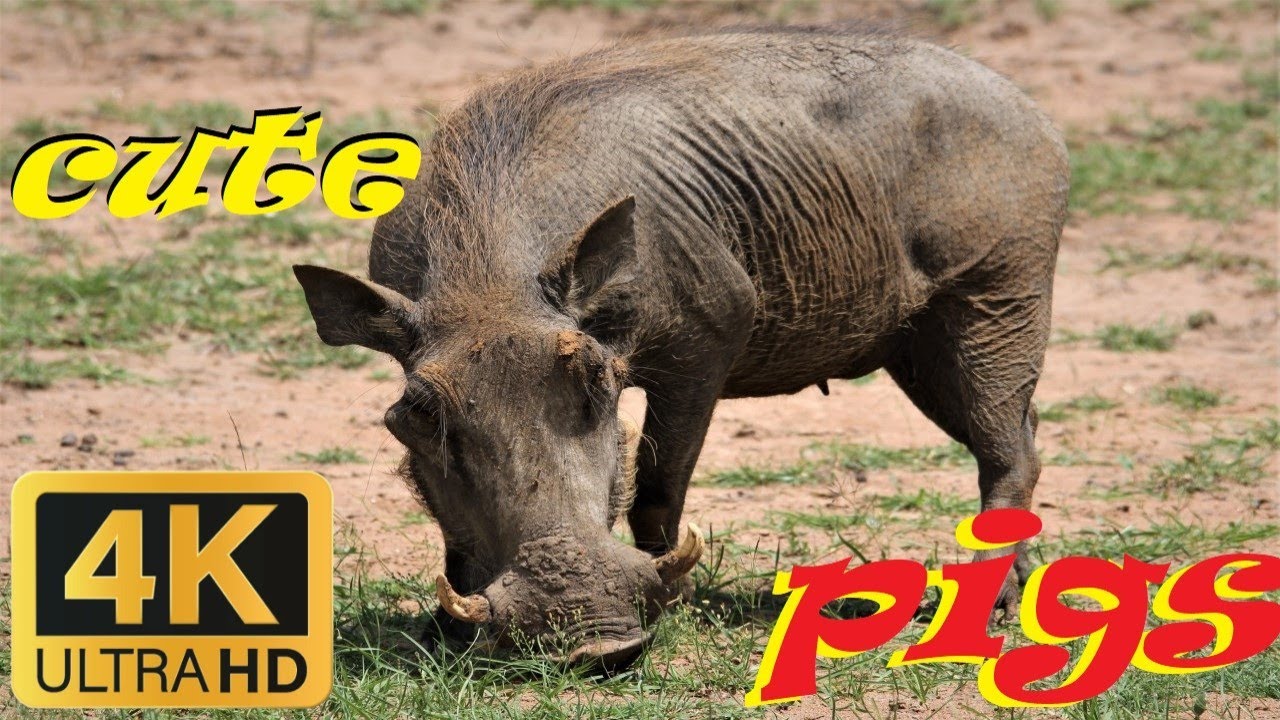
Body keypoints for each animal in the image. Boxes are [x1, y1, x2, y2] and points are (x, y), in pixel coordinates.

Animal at [294, 25, 1069, 667]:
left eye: (596, 382)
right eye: (419, 413)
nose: (591, 644)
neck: (493, 280)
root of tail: (1032, 111)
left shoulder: (706, 342)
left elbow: (659, 484)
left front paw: (680, 606)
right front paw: (441, 630)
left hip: (1000, 301)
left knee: (1009, 455)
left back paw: (984, 610)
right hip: (918, 352)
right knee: (1022, 436)